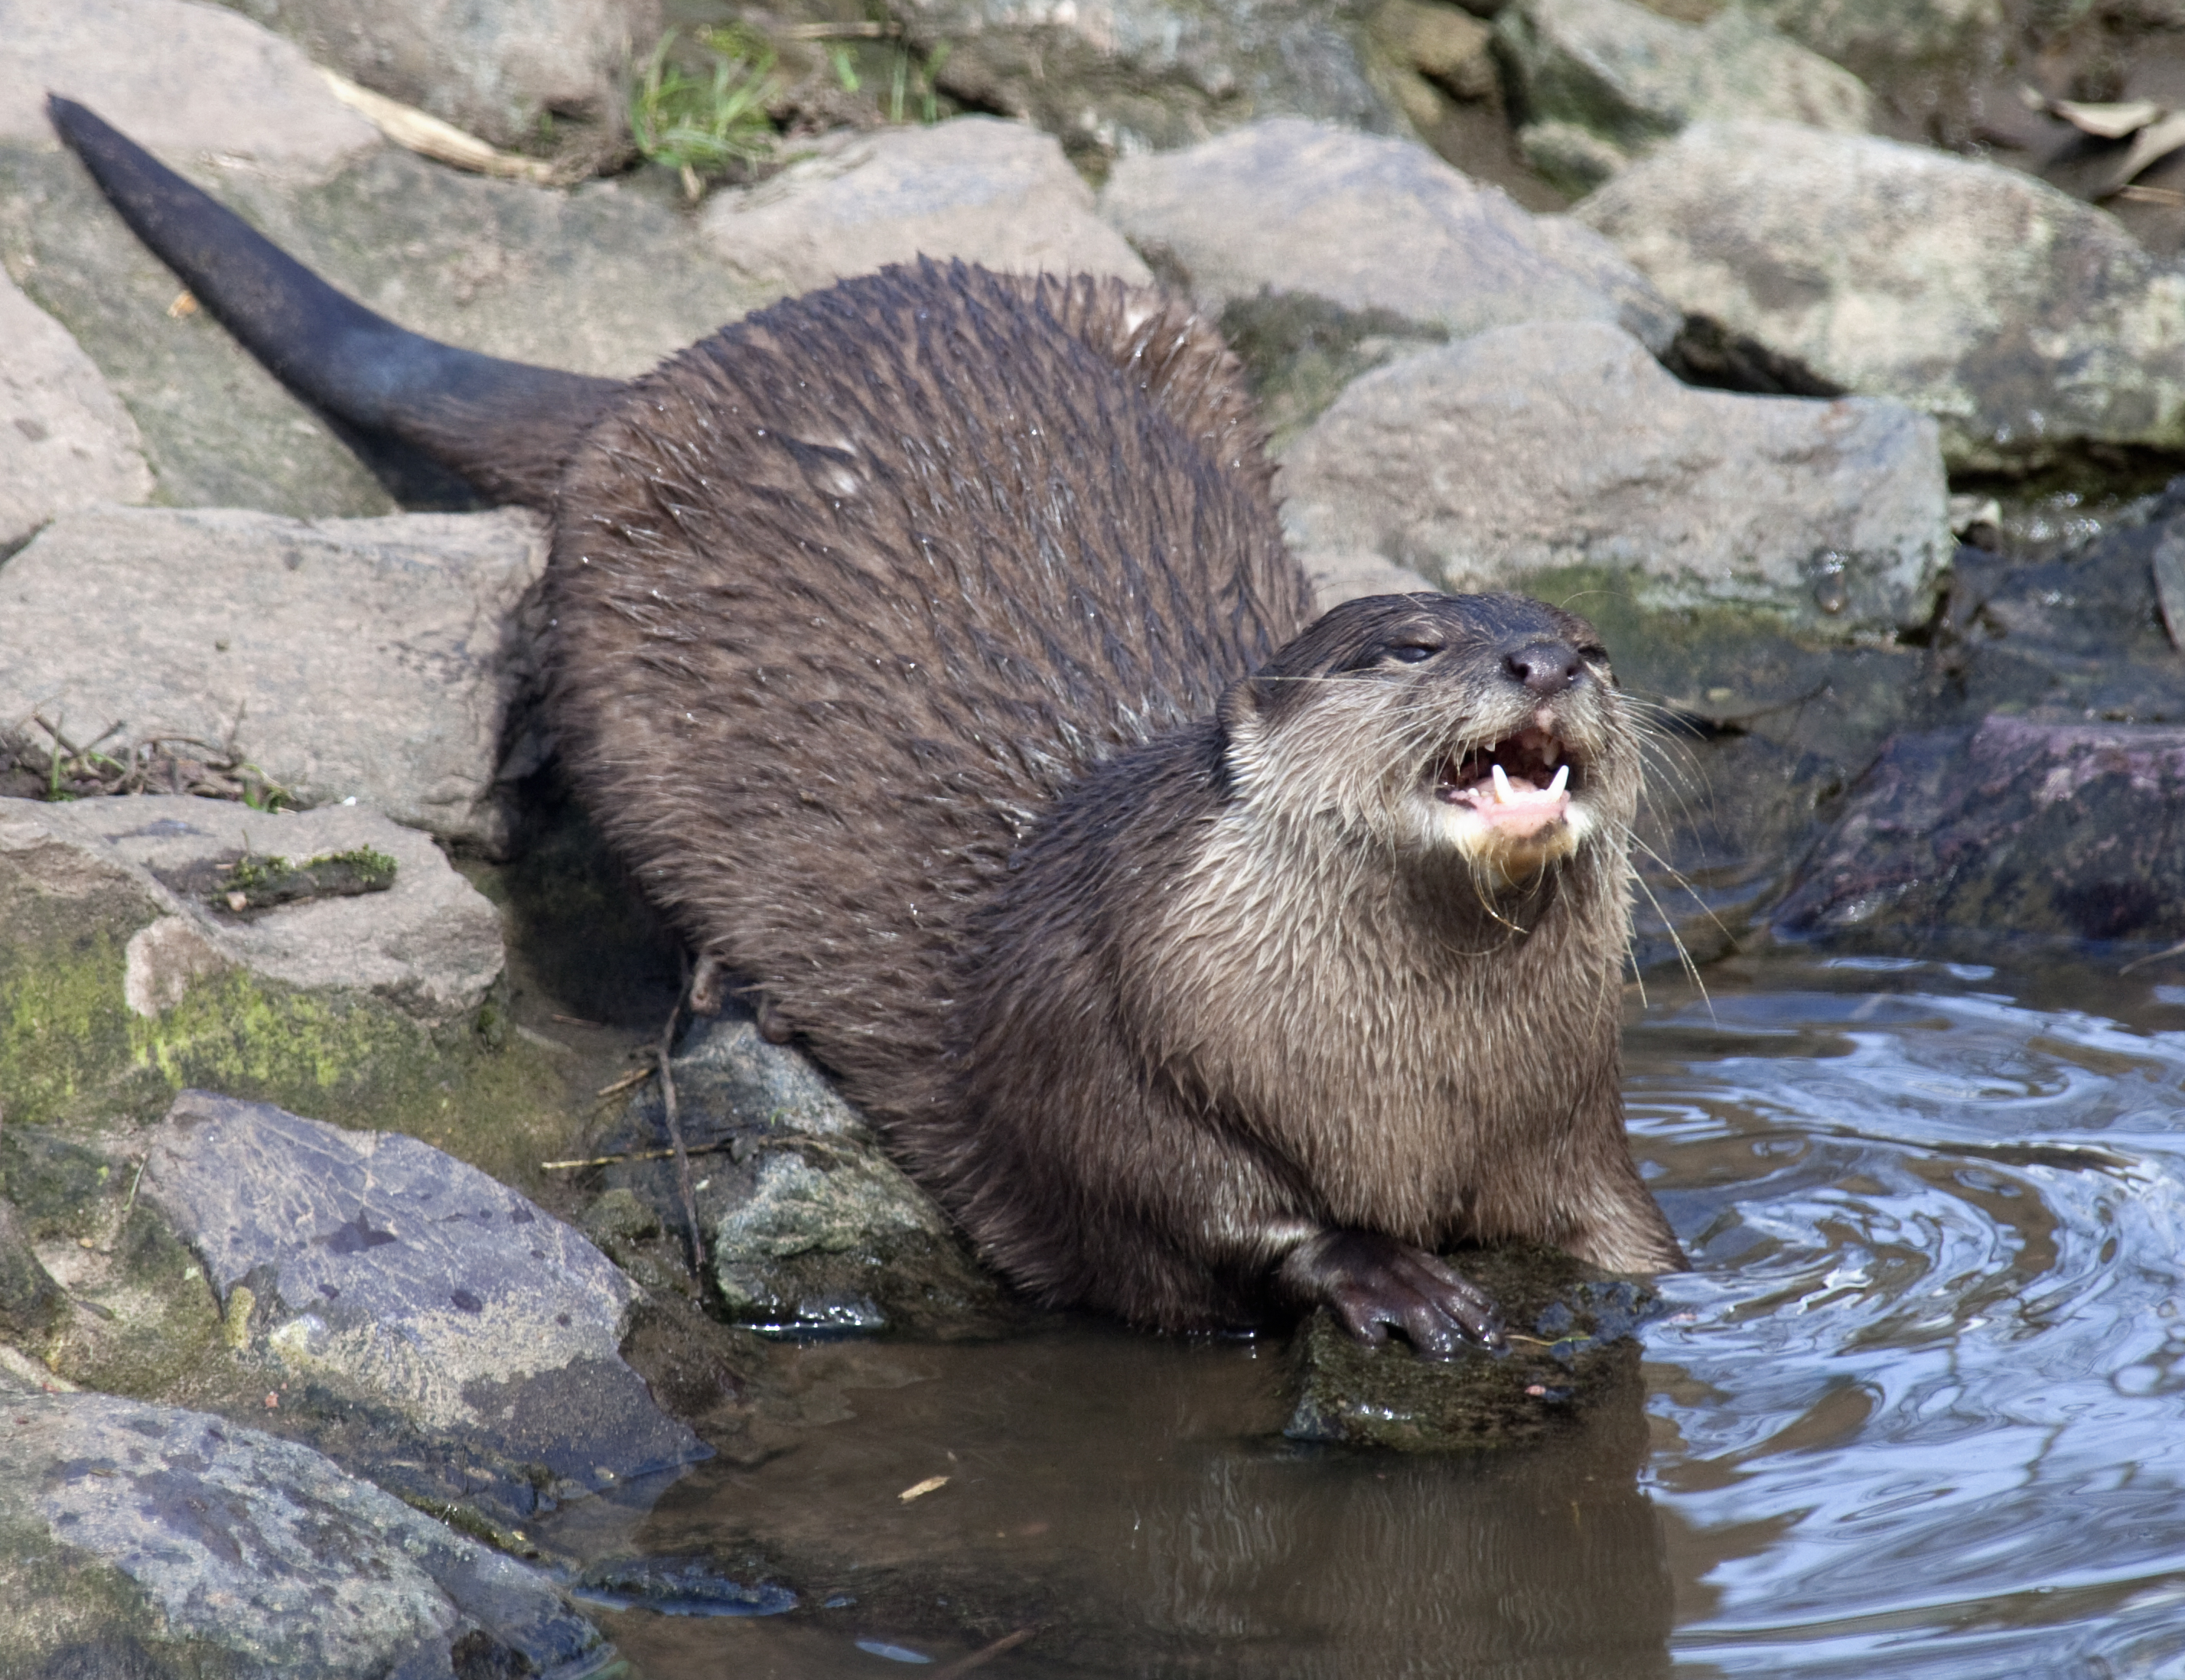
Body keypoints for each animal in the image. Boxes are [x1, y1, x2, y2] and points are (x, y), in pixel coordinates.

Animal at [49, 97, 1685, 1355]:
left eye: (1599, 644)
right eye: (1411, 643)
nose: (1545, 658)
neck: (1403, 1098)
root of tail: (664, 369)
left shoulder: (1568, 1115)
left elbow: (1629, 1228)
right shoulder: (1087, 1028)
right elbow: (1187, 1205)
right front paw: (1379, 1271)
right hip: (605, 650)